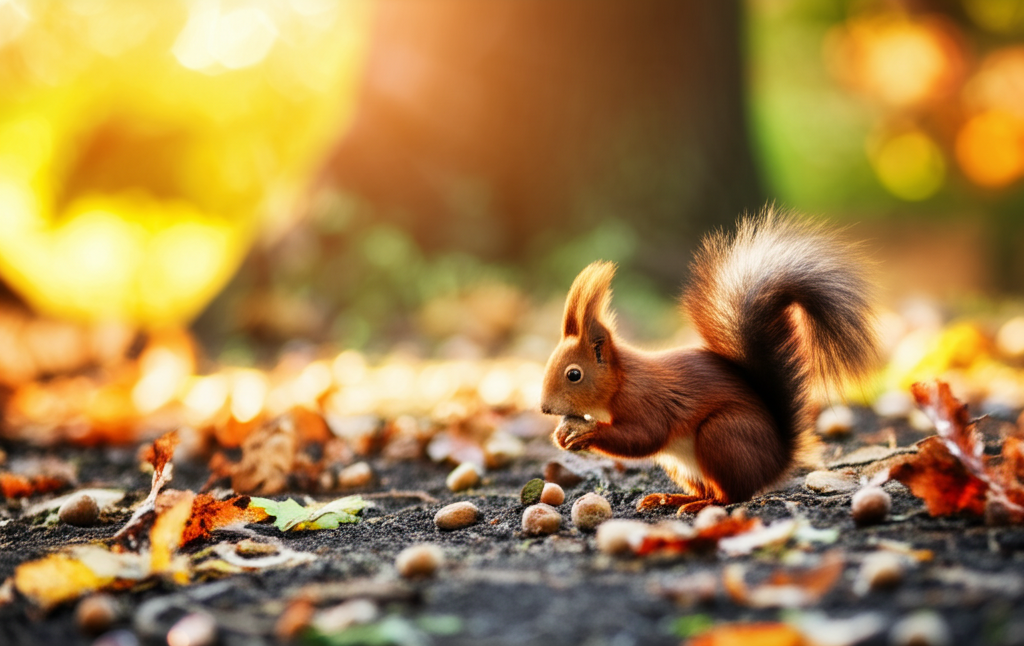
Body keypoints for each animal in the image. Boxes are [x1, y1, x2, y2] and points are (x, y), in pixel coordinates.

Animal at [539, 208, 878, 513]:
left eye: (574, 374)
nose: (544, 409)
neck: (620, 381)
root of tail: (776, 461)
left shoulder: (644, 399)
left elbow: (645, 436)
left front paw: (587, 434)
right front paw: (560, 435)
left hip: (721, 435)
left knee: (732, 495)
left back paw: (699, 505)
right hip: (682, 466)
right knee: (711, 489)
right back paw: (671, 498)